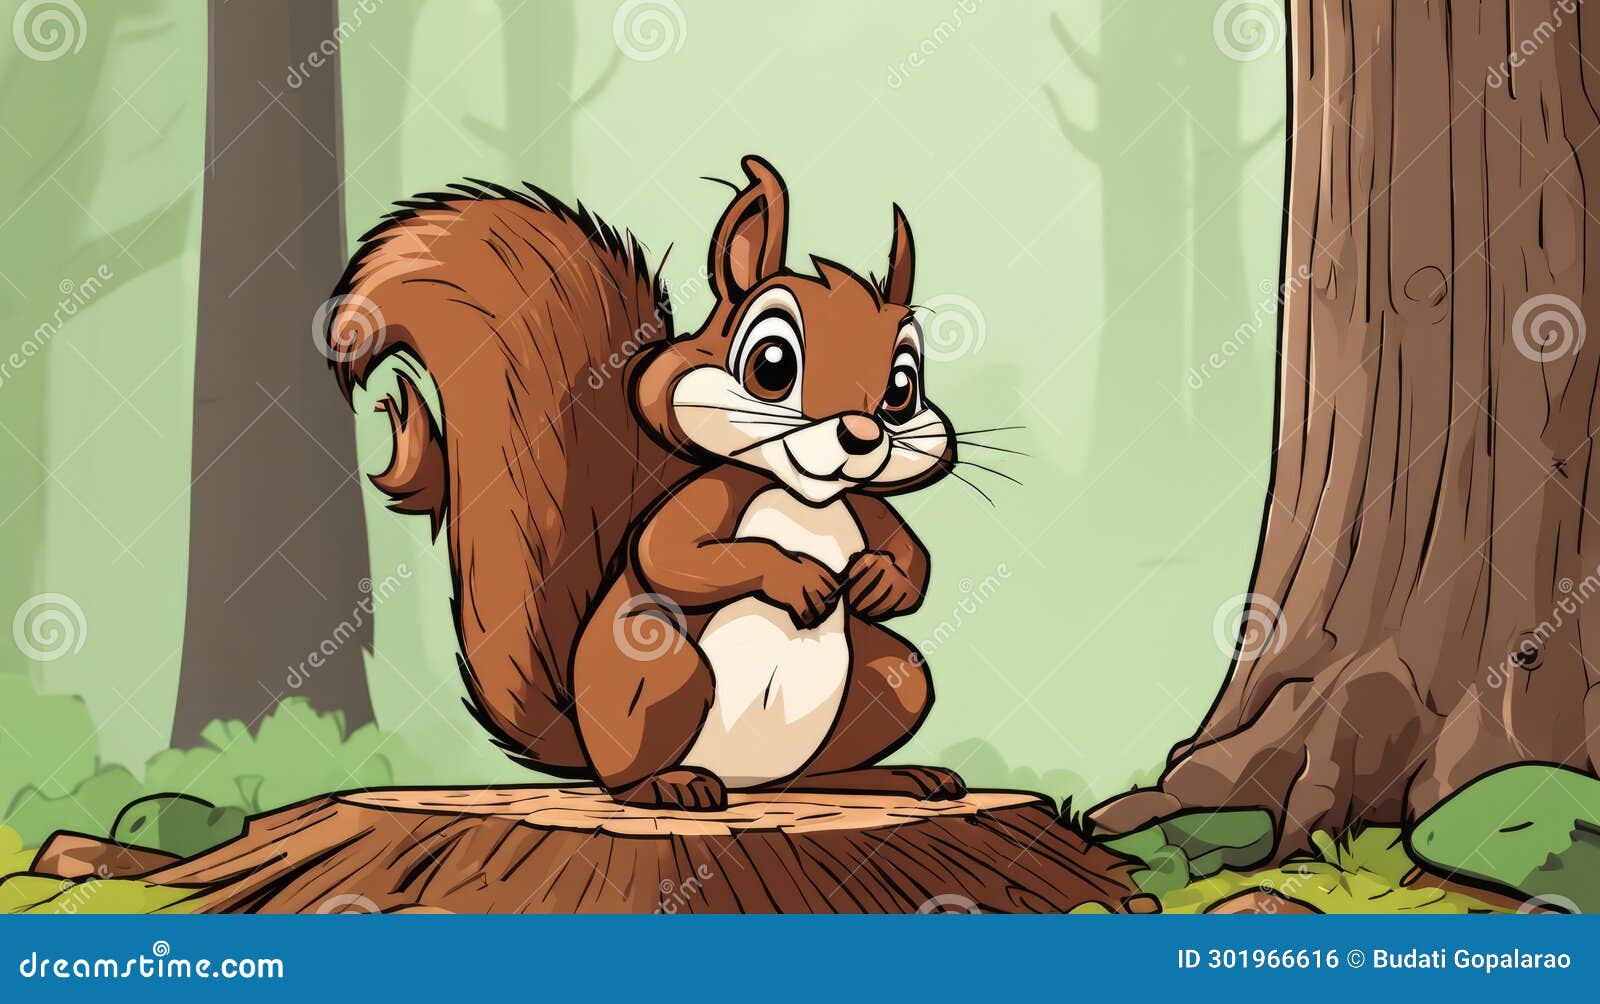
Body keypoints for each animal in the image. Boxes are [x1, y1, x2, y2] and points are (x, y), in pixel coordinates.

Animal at [326, 156, 965, 811]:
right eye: (772, 365)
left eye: (902, 387)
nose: (862, 435)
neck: (804, 497)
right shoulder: (714, 494)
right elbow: (669, 554)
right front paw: (795, 575)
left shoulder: (865, 507)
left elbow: (913, 556)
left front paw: (880, 581)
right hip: (659, 672)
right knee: (626, 774)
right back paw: (669, 784)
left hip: (895, 682)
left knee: (854, 728)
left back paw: (893, 778)